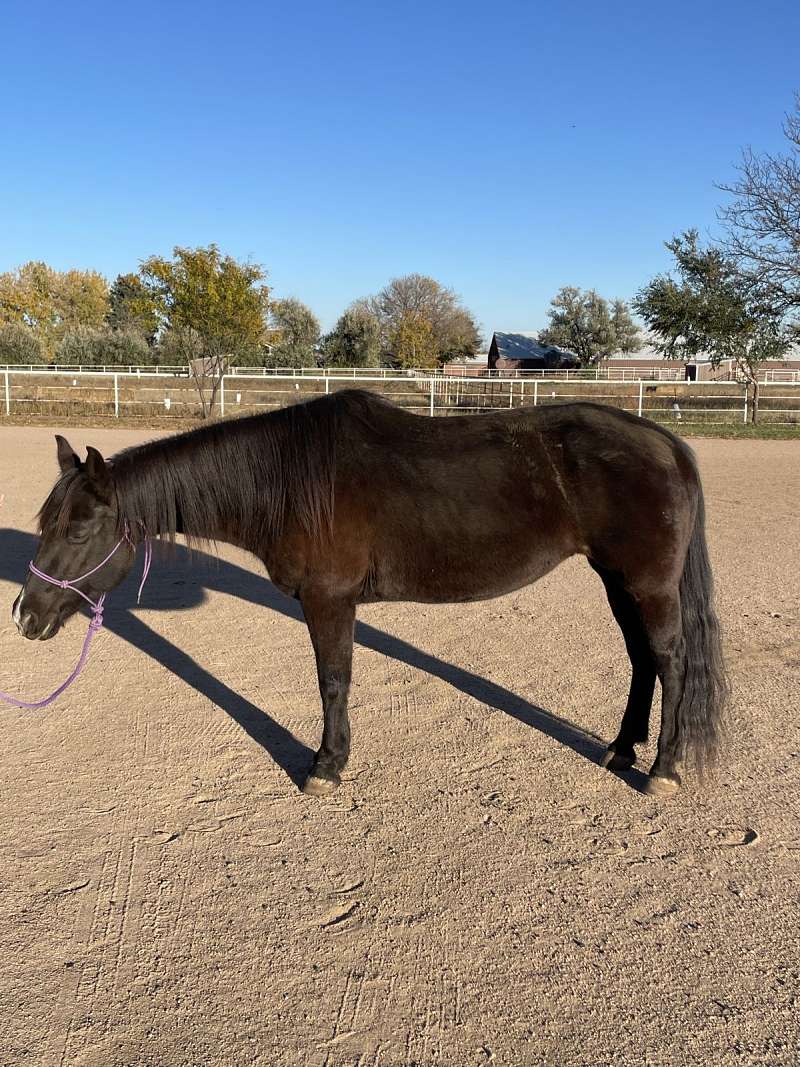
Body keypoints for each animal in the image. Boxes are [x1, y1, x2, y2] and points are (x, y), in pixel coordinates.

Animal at [11, 389, 727, 797]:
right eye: (46, 524)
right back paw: (621, 749)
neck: (287, 479)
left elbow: (333, 679)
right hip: (618, 579)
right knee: (642, 661)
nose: (25, 615)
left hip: (646, 583)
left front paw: (326, 766)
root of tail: (664, 441)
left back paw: (662, 770)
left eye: (79, 529)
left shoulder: (329, 600)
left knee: (671, 662)